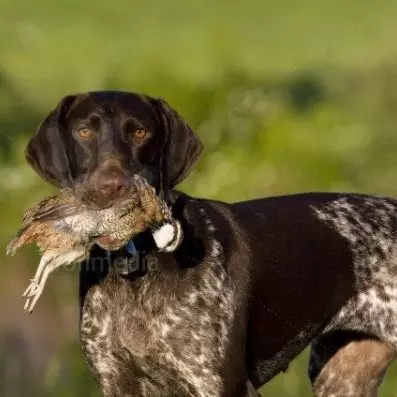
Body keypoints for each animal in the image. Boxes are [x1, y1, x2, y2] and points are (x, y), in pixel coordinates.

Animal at [24, 90, 396, 396]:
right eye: (84, 131)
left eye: (140, 132)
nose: (112, 186)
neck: (135, 268)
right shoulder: (117, 382)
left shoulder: (223, 385)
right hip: (341, 377)